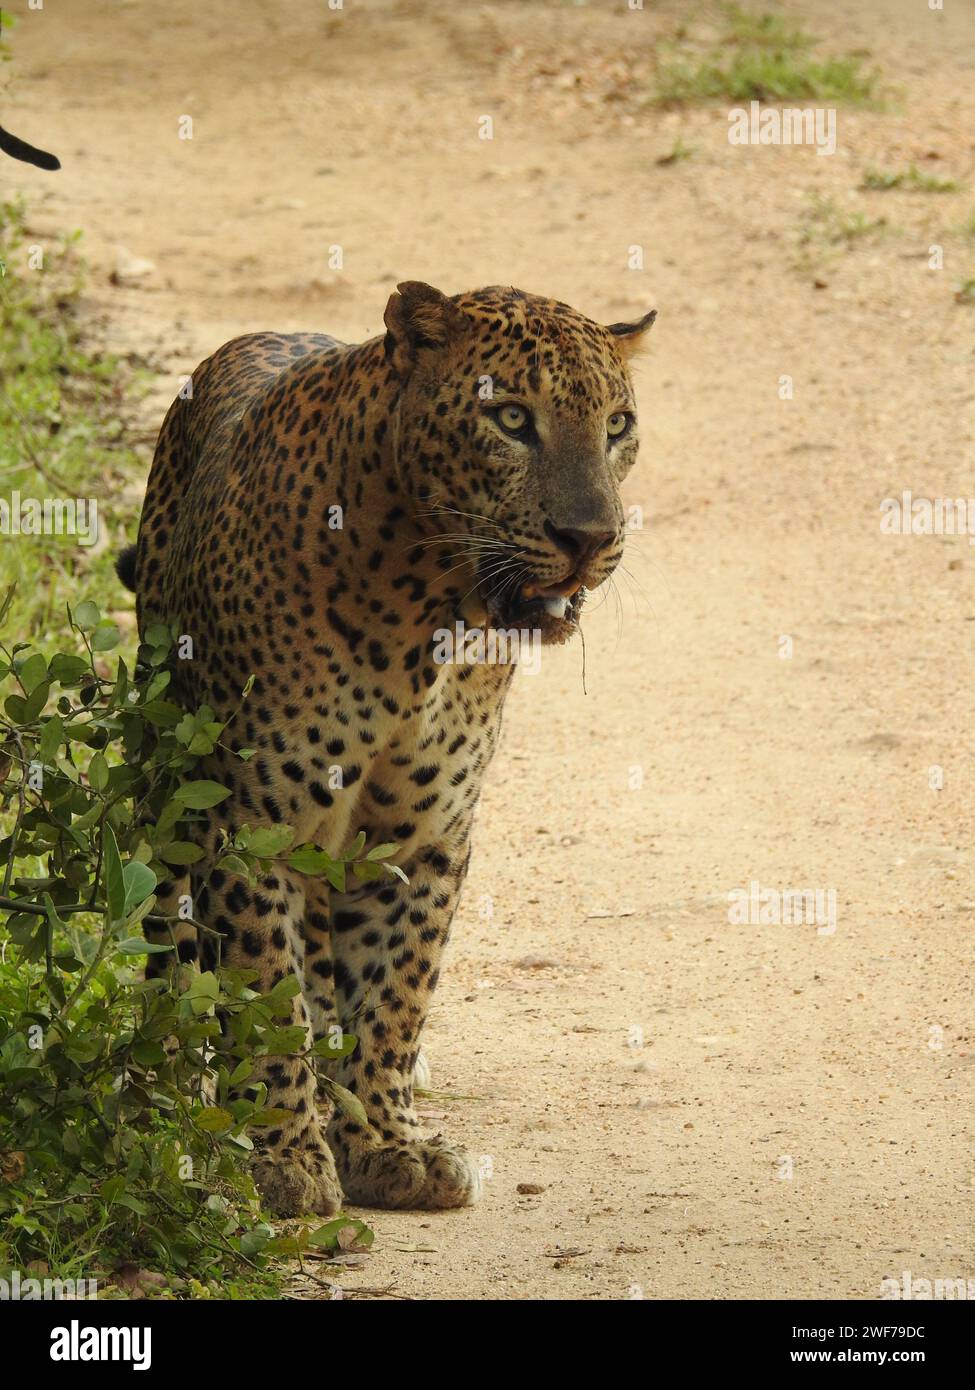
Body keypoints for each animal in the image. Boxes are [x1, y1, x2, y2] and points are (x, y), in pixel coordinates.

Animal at [118, 281, 655, 1216]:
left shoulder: (421, 840)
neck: (425, 614)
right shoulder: (251, 831)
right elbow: (266, 999)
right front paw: (287, 1161)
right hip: (174, 792)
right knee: (176, 958)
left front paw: (382, 1144)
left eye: (616, 425)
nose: (588, 537)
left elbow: (396, 993)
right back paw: (175, 1107)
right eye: (511, 418)